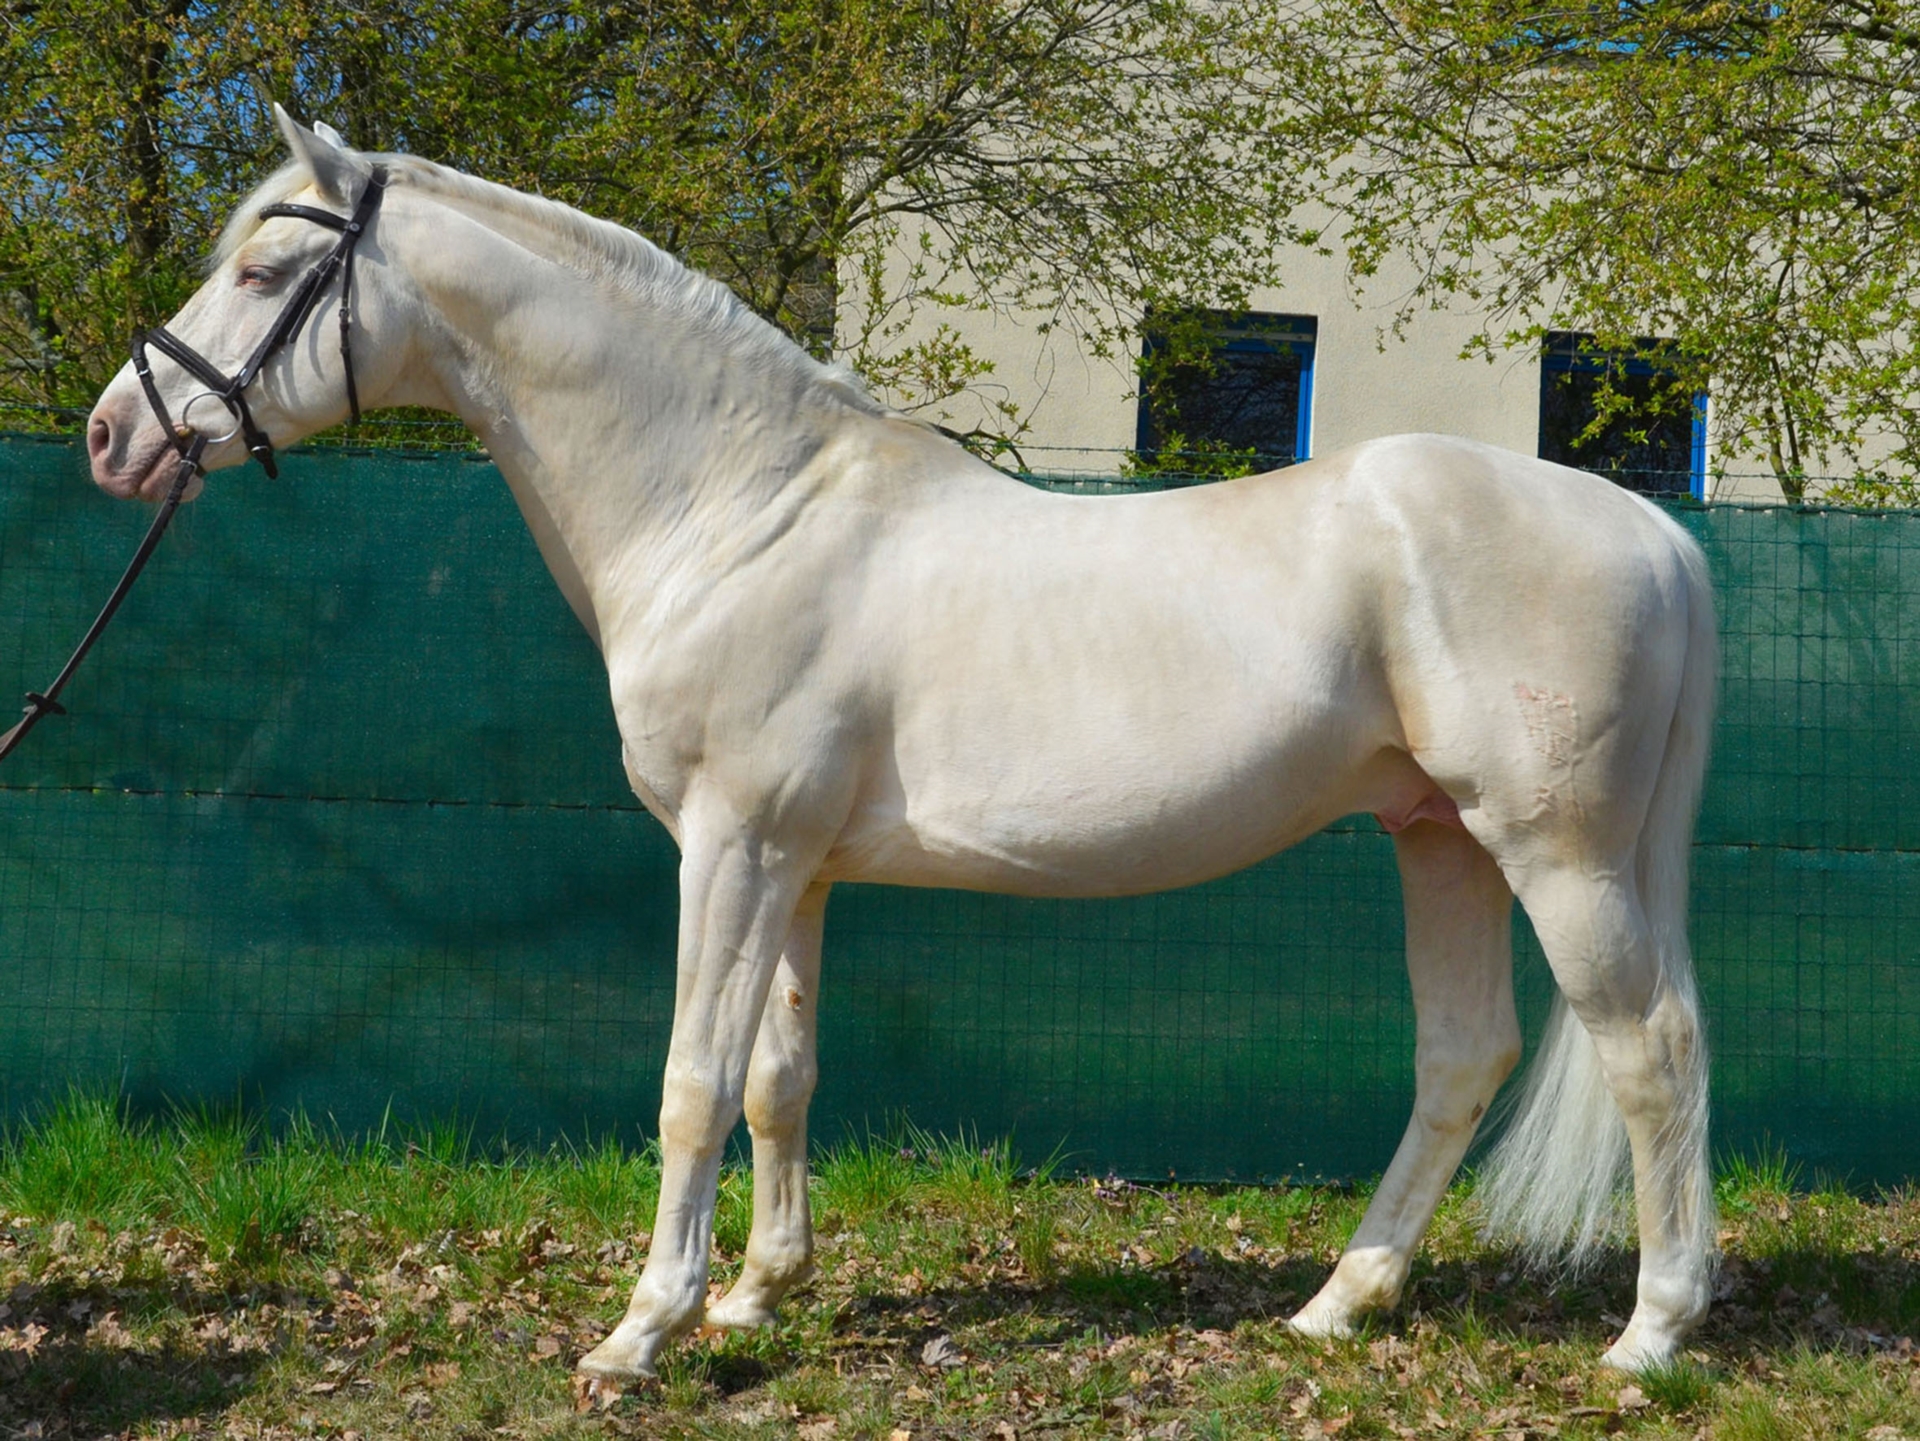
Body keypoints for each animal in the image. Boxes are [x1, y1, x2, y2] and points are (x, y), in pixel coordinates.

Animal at [86, 108, 1718, 1381]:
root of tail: (1655, 532)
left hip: (1555, 856)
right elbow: (778, 1076)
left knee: (1650, 1049)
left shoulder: (732, 846)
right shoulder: (798, 865)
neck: (738, 508)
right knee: (1466, 1055)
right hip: (1437, 839)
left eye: (266, 269)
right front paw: (757, 1298)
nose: (114, 436)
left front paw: (641, 1331)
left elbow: (691, 1081)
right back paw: (1338, 1304)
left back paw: (1650, 1335)